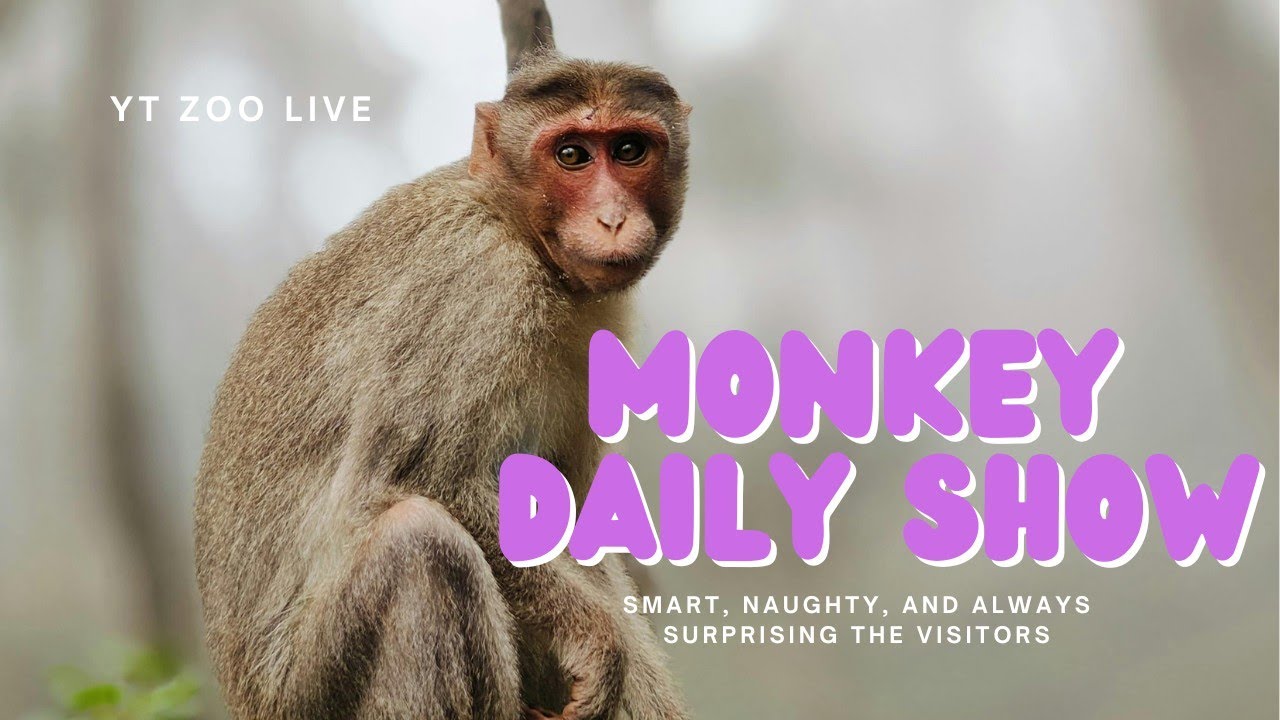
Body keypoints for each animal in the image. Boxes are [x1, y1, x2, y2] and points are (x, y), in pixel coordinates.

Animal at [193, 2, 692, 719]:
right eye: (571, 155)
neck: (520, 230)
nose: (612, 218)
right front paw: (597, 639)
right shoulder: (474, 284)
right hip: (311, 692)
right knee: (421, 545)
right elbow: (417, 479)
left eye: (628, 150)